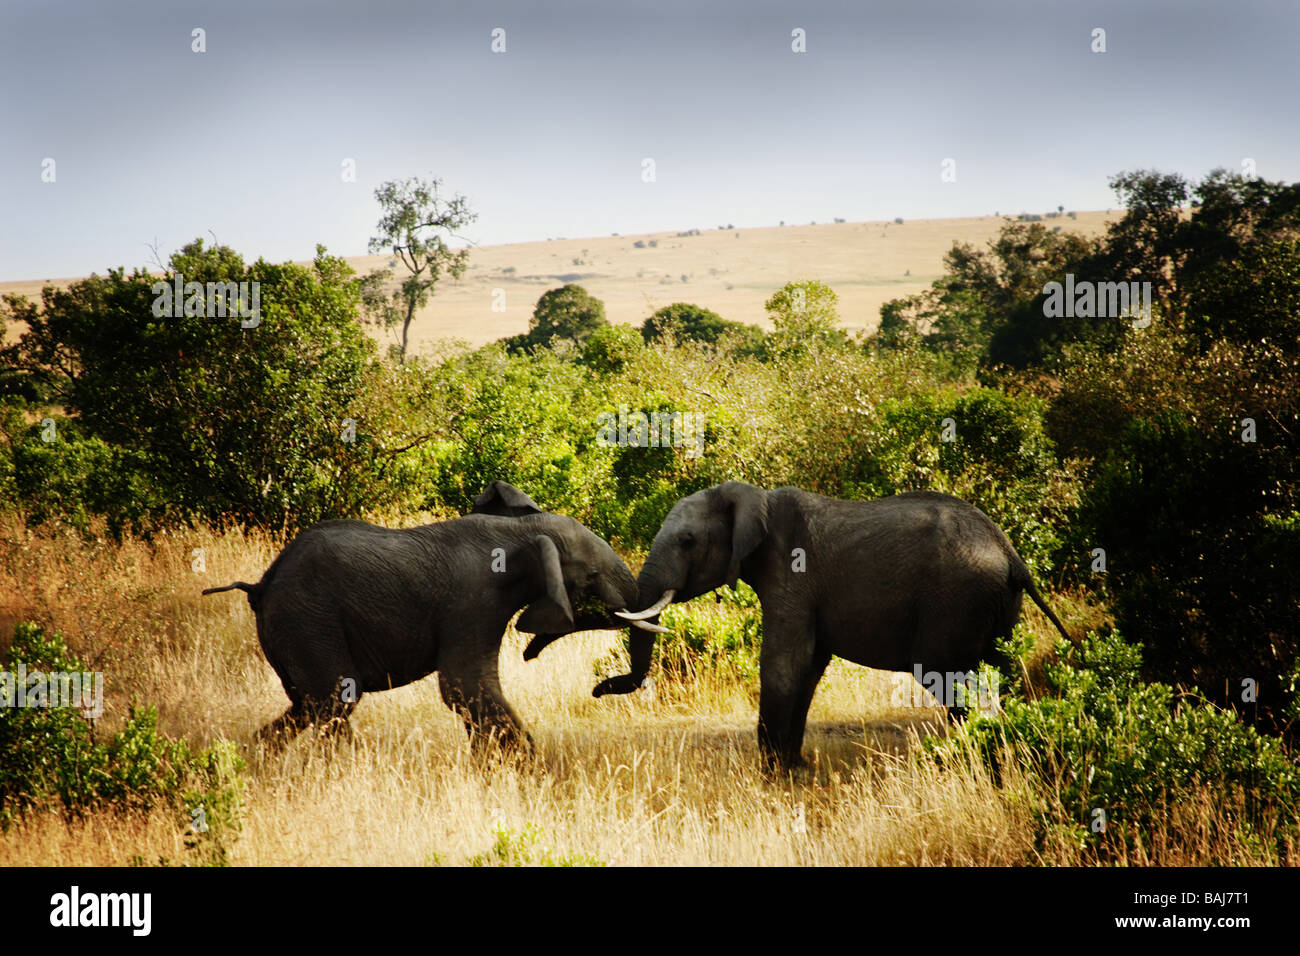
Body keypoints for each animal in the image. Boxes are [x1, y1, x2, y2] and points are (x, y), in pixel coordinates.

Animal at [202, 481, 650, 752]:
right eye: (592, 576)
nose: (597, 690)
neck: (520, 532)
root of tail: (261, 586)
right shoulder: (473, 603)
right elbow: (465, 689)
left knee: (306, 706)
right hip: (309, 620)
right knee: (334, 701)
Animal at [594, 481, 1071, 769]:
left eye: (688, 541)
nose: (598, 691)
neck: (755, 498)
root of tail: (1011, 553)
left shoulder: (792, 576)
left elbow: (784, 663)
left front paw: (772, 773)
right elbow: (809, 667)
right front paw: (793, 767)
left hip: (956, 603)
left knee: (948, 677)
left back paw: (967, 760)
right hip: (998, 608)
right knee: (1000, 674)